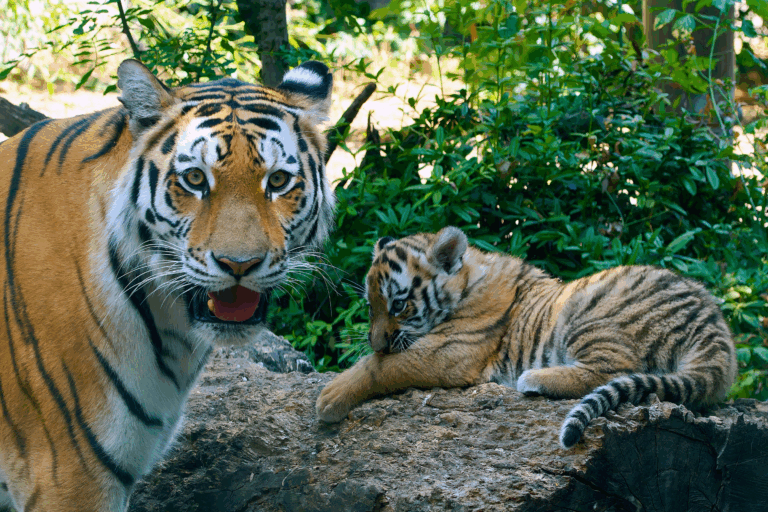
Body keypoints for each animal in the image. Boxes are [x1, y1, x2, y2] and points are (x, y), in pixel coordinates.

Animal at [316, 226, 737, 449]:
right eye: (370, 305)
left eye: (399, 304)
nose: (376, 341)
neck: (465, 283)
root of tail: (716, 332)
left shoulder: (450, 352)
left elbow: (381, 367)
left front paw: (330, 397)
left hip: (587, 310)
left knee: (615, 370)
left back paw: (534, 378)